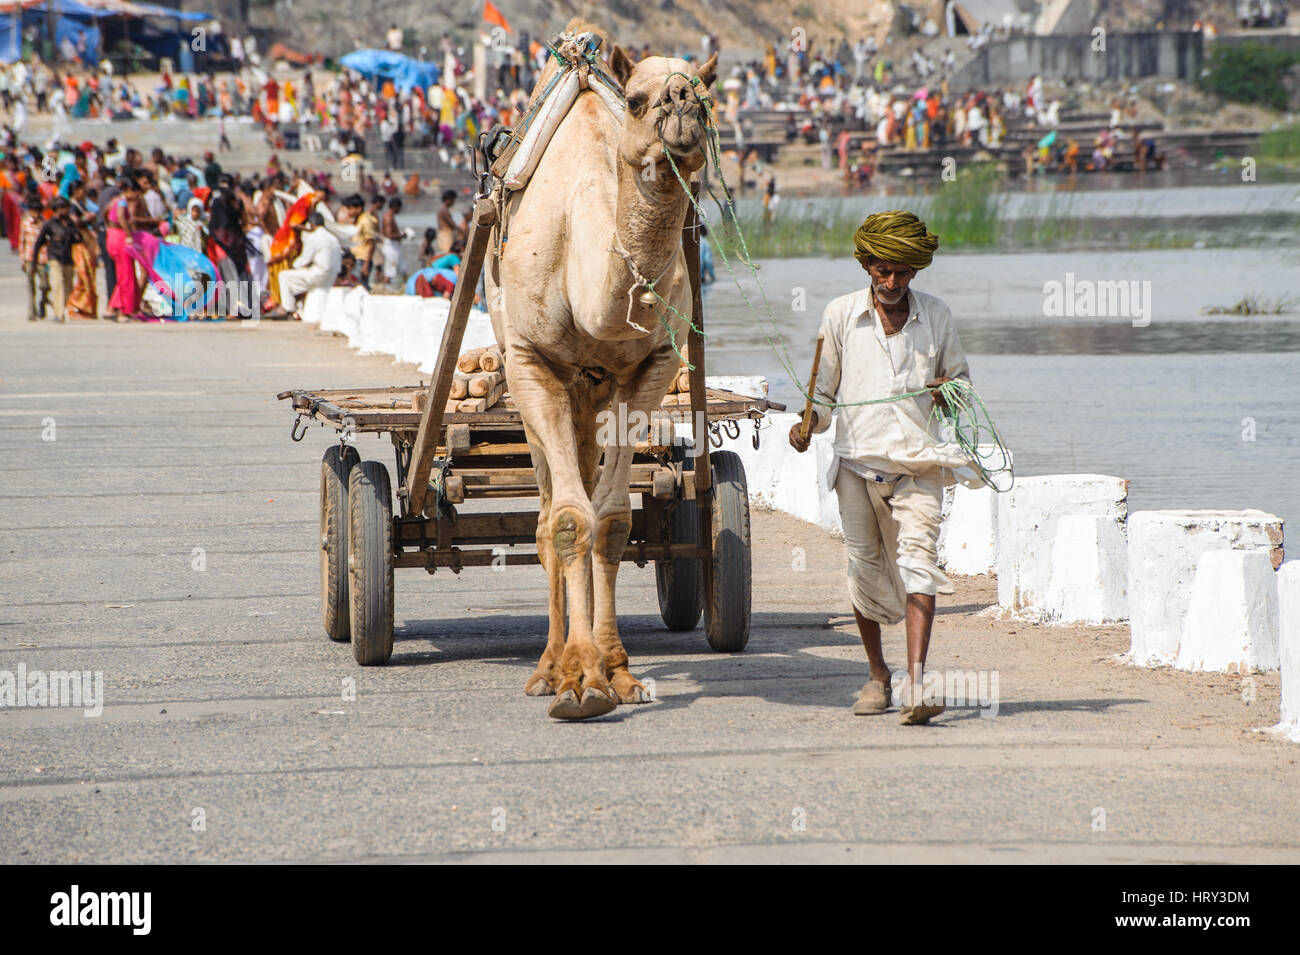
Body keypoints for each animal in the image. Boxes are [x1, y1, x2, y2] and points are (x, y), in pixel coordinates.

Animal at [485, 19, 717, 720]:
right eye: (638, 101)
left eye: (709, 101)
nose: (682, 105)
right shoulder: (530, 362)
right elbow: (566, 520)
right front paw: (578, 682)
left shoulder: (650, 366)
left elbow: (611, 520)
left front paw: (614, 673)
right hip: (527, 376)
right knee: (546, 514)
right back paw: (546, 666)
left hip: (593, 392)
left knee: (587, 489)